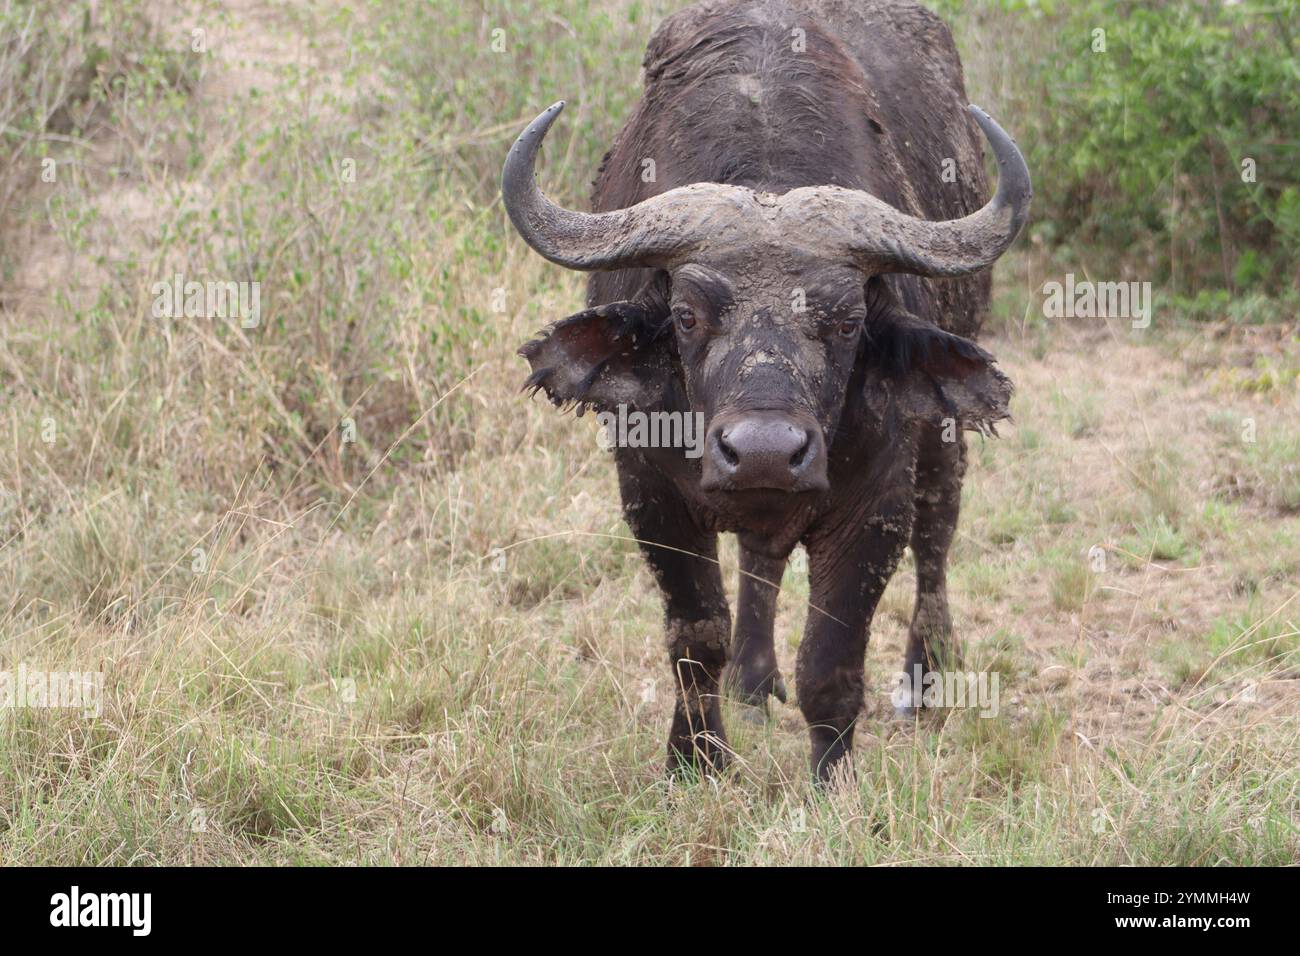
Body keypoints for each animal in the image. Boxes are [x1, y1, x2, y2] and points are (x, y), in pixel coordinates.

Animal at [504, 0, 1030, 782]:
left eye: (846, 320)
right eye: (687, 315)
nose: (763, 451)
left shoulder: (874, 507)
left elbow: (832, 663)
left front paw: (832, 778)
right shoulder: (651, 497)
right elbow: (697, 635)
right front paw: (695, 758)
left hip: (943, 431)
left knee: (937, 536)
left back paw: (923, 679)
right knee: (761, 555)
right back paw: (753, 681)